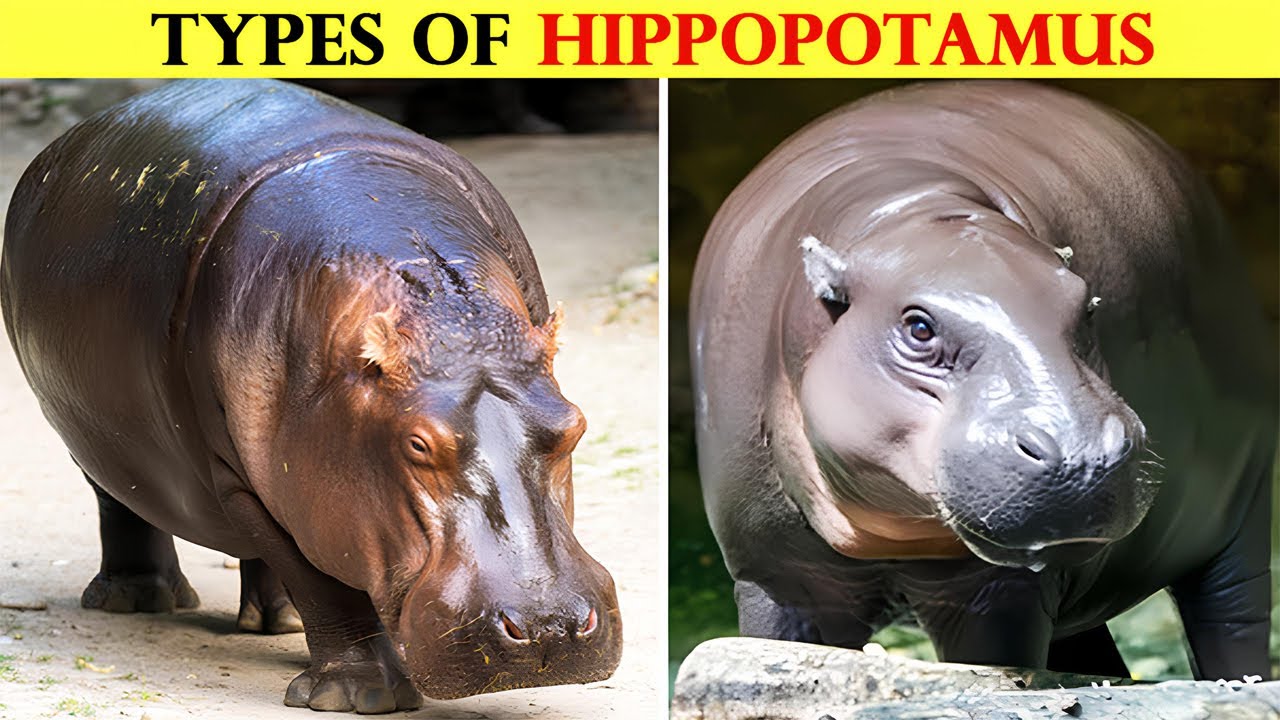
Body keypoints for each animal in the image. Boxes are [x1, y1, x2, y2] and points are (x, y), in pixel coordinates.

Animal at [1, 79, 621, 713]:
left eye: (574, 426)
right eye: (417, 445)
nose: (548, 626)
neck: (443, 317)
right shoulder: (240, 482)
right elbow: (317, 580)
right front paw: (358, 696)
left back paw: (279, 625)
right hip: (100, 448)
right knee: (120, 502)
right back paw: (137, 600)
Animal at [690, 81, 1275, 680]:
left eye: (1088, 306)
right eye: (918, 327)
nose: (1084, 456)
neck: (913, 213)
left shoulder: (994, 589)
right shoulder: (780, 579)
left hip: (1244, 514)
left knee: (1232, 615)